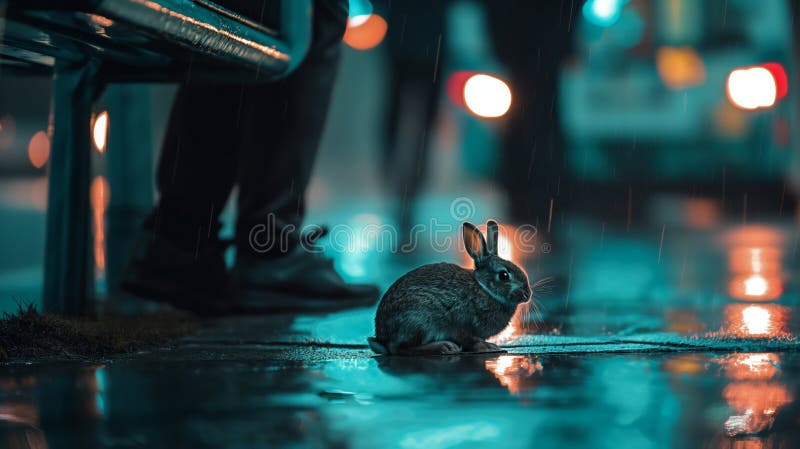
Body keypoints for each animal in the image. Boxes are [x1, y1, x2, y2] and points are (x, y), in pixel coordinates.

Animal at [368, 220, 532, 355]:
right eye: (504, 275)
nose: (527, 294)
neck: (484, 288)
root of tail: (383, 339)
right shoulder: (462, 323)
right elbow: (470, 340)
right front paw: (488, 347)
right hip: (421, 320)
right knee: (400, 349)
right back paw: (444, 347)